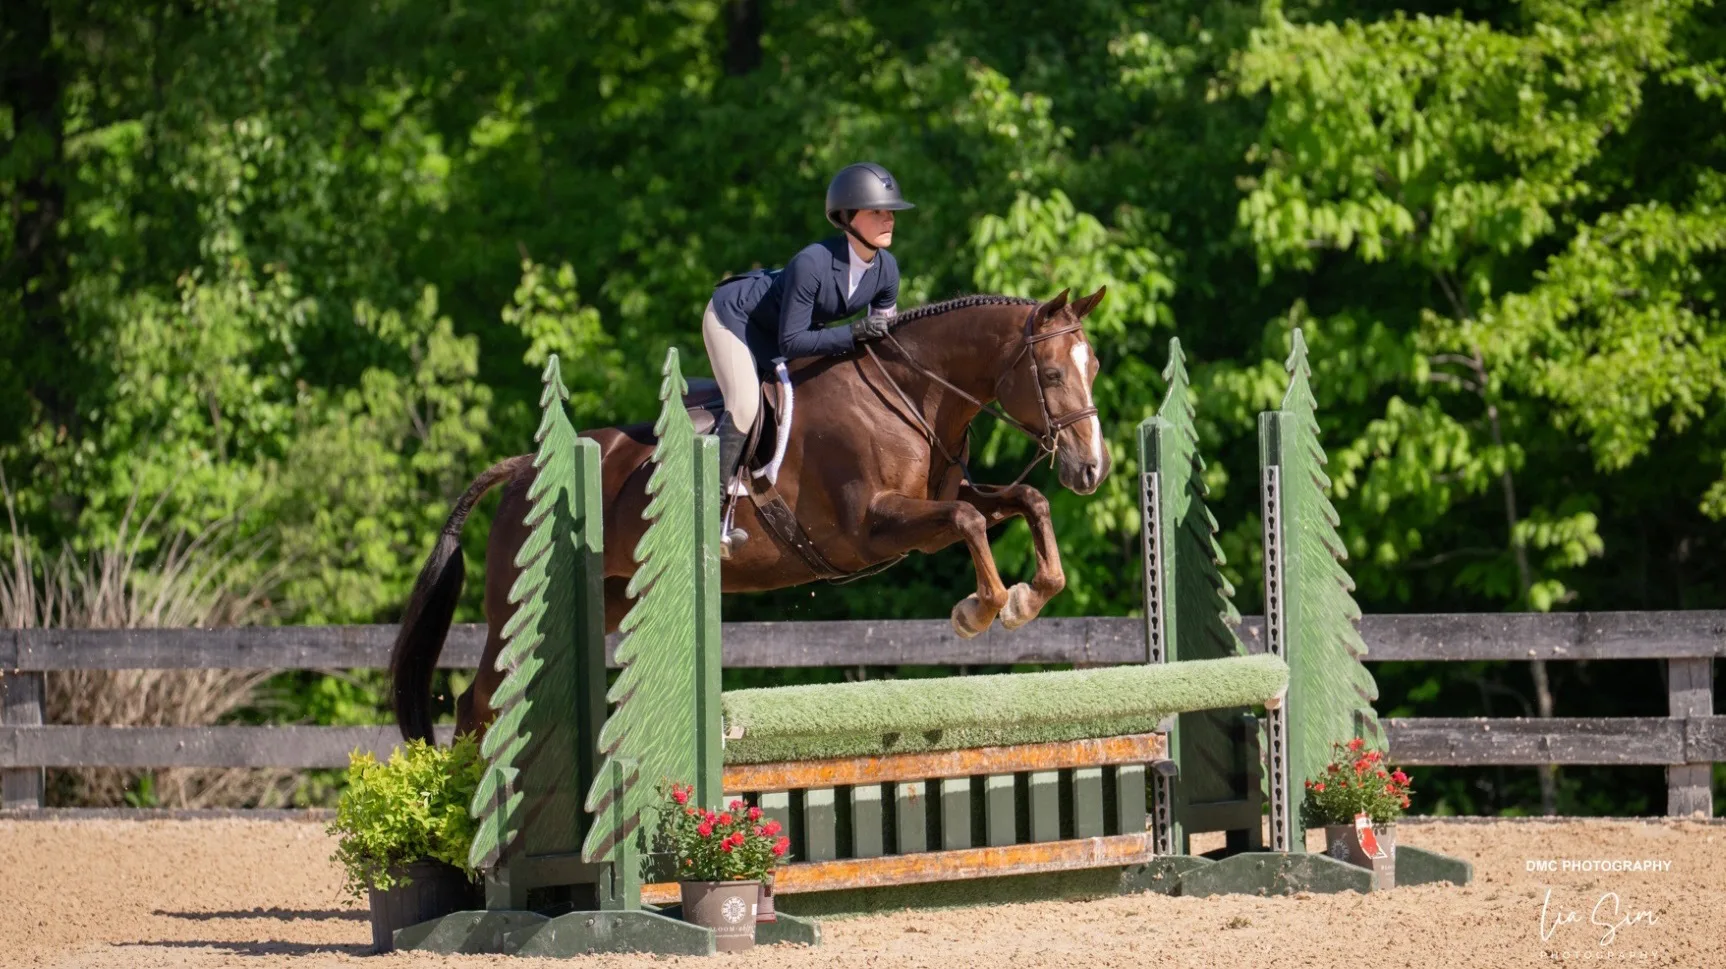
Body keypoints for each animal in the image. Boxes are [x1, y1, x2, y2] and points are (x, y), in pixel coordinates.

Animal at [390, 286, 1112, 743]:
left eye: (1095, 366)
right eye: (1051, 375)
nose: (1092, 469)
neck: (910, 395)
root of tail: (520, 468)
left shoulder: (928, 516)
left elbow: (1020, 502)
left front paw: (1027, 596)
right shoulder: (870, 527)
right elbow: (966, 521)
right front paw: (979, 610)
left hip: (609, 597)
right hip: (518, 609)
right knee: (477, 700)